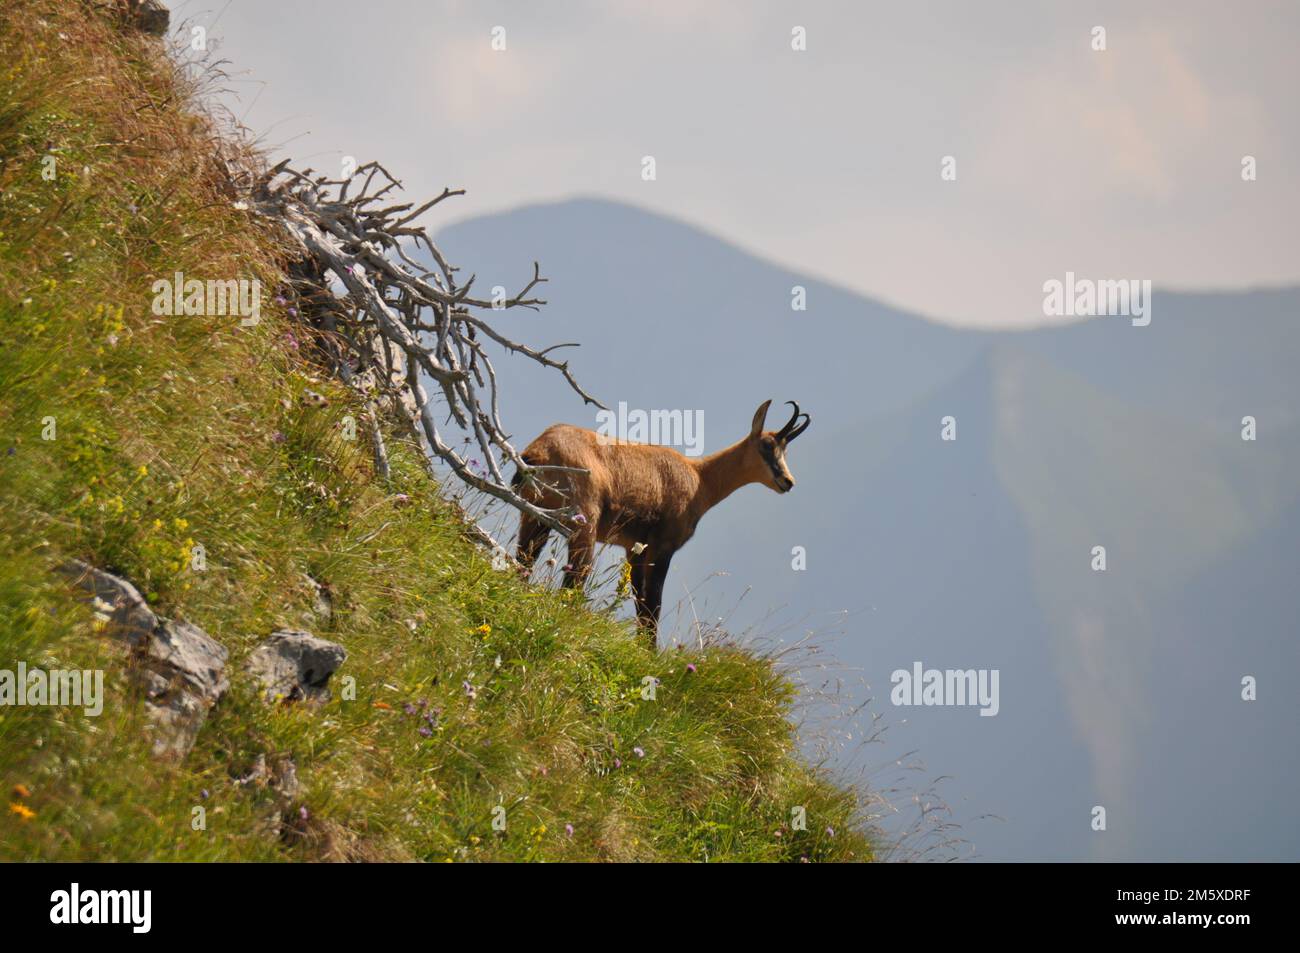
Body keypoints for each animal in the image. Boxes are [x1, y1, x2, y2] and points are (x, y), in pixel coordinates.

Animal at [513, 399, 810, 643]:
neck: (699, 479)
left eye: (784, 450)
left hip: (534, 519)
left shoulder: (634, 549)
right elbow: (653, 603)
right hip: (582, 527)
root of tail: (538, 451)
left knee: (523, 563)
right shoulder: (662, 547)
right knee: (574, 580)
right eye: (767, 446)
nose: (788, 481)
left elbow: (641, 603)